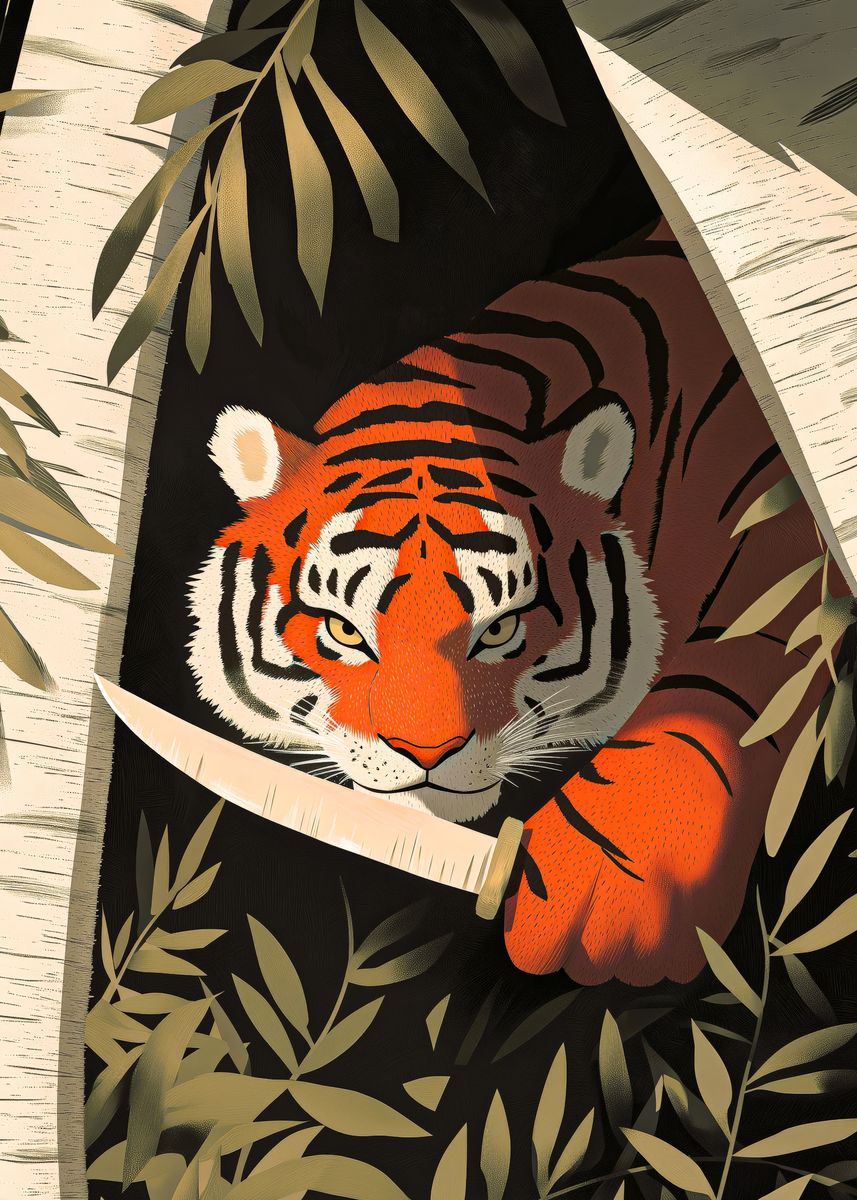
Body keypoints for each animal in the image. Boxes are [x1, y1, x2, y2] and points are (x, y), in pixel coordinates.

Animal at [188, 217, 843, 986]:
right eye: (344, 633)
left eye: (501, 630)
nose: (425, 752)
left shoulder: (777, 539)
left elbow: (724, 685)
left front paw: (608, 877)